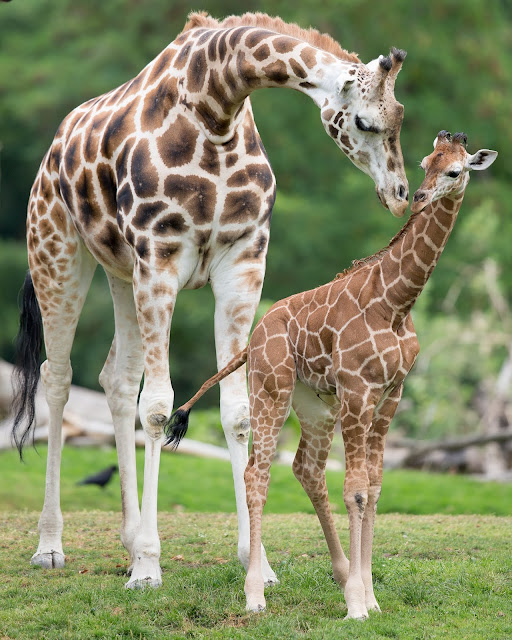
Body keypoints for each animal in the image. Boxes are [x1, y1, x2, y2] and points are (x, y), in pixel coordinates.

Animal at [11, 12, 409, 590]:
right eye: (363, 122)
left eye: (400, 117)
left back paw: (127, 536)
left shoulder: (242, 262)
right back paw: (51, 546)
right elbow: (158, 409)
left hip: (121, 273)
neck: (215, 103)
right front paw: (148, 567)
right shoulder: (159, 257)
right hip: (59, 253)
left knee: (116, 378)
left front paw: (255, 562)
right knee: (58, 378)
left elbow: (236, 412)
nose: (399, 193)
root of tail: (51, 154)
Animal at [166, 131, 497, 618]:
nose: (419, 197)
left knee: (306, 467)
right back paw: (256, 594)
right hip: (272, 388)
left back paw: (339, 576)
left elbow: (374, 486)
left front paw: (369, 597)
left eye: (455, 170)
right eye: (424, 163)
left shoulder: (391, 393)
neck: (396, 303)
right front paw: (358, 604)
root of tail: (253, 338)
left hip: (315, 404)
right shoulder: (358, 388)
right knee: (256, 473)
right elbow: (356, 490)